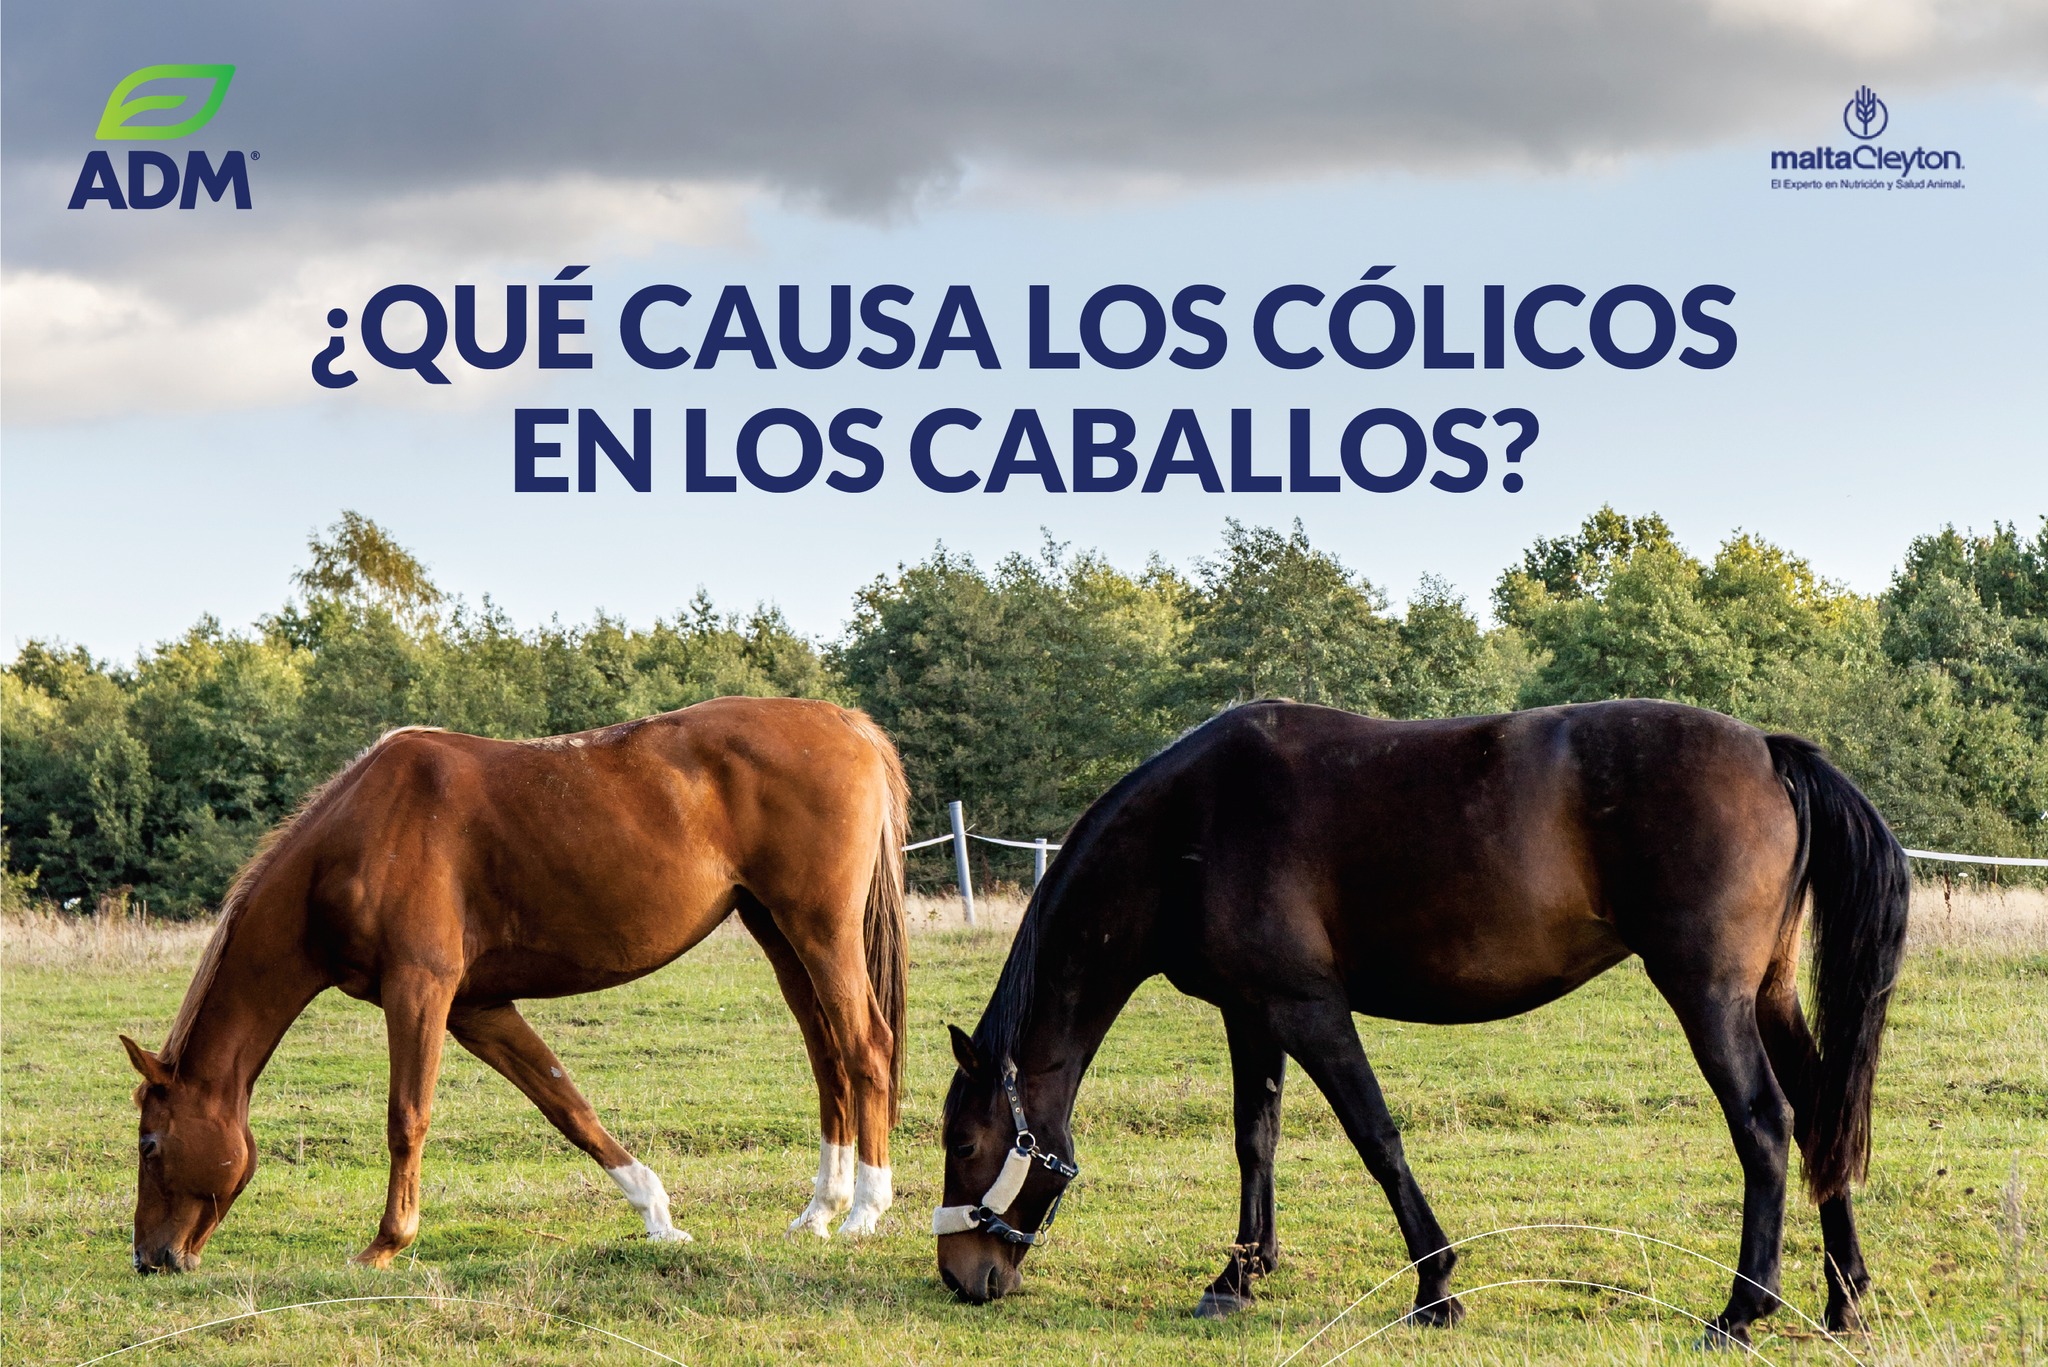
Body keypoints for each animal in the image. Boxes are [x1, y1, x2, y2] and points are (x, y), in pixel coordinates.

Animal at [120, 695, 910, 1273]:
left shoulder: (421, 992)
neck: (355, 840)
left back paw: (866, 1208)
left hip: (821, 931)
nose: (150, 1258)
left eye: (150, 1145)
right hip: (780, 935)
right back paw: (821, 1209)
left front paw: (385, 1243)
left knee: (866, 1047)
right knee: (828, 1058)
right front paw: (657, 1216)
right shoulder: (476, 1008)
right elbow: (566, 1105)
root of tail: (844, 721)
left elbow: (407, 1117)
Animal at [935, 699, 1908, 1347]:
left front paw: (1435, 1284)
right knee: (1821, 1117)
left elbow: (1374, 1134)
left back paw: (1744, 1307)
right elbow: (1256, 1136)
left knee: (1767, 1123)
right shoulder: (1250, 1013)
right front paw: (1240, 1271)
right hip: (1767, 994)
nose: (962, 1277)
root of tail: (1767, 751)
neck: (1190, 826)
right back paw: (1843, 1296)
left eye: (965, 1141)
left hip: (1708, 994)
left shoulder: (1308, 1007)